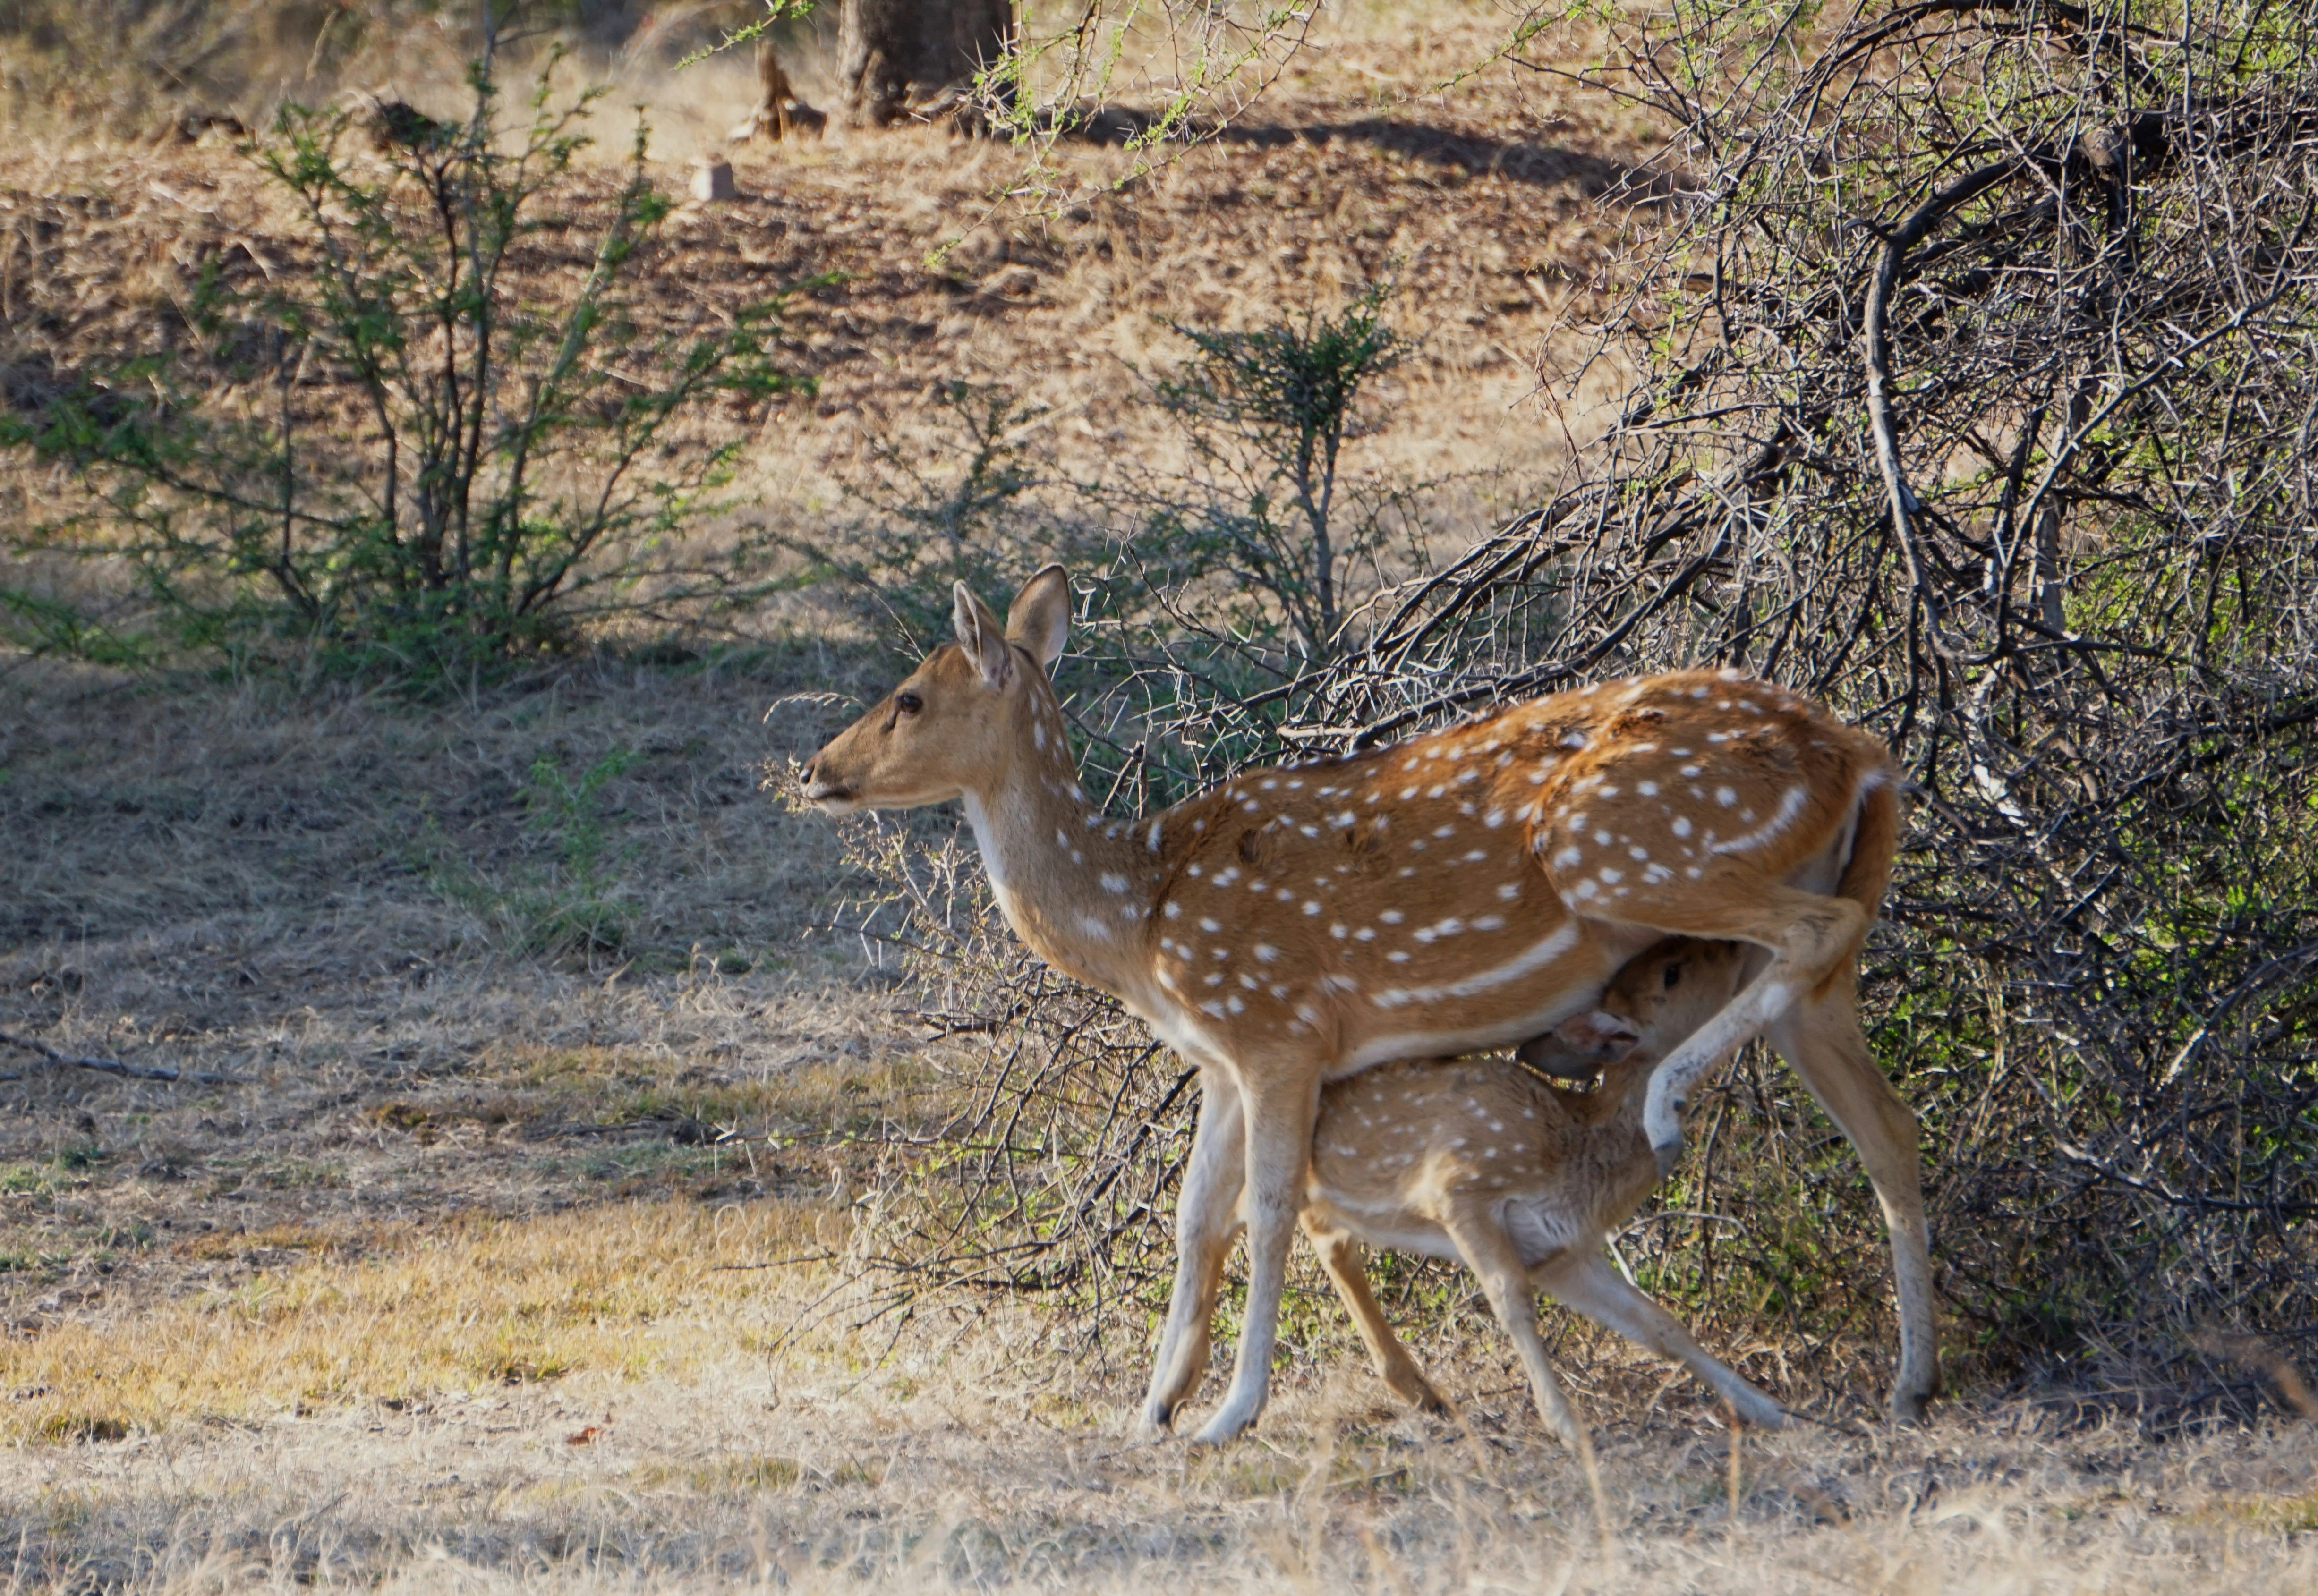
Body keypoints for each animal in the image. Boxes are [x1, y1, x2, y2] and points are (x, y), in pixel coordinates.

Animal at [1302, 936, 1786, 1446]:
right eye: (1672, 972)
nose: (1731, 943)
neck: (1572, 1146)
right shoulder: (1458, 1183)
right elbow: (1510, 1299)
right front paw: (1568, 1426)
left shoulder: (1559, 1252)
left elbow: (1659, 1325)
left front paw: (1773, 1410)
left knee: (1329, 1239)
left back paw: (1423, 1394)